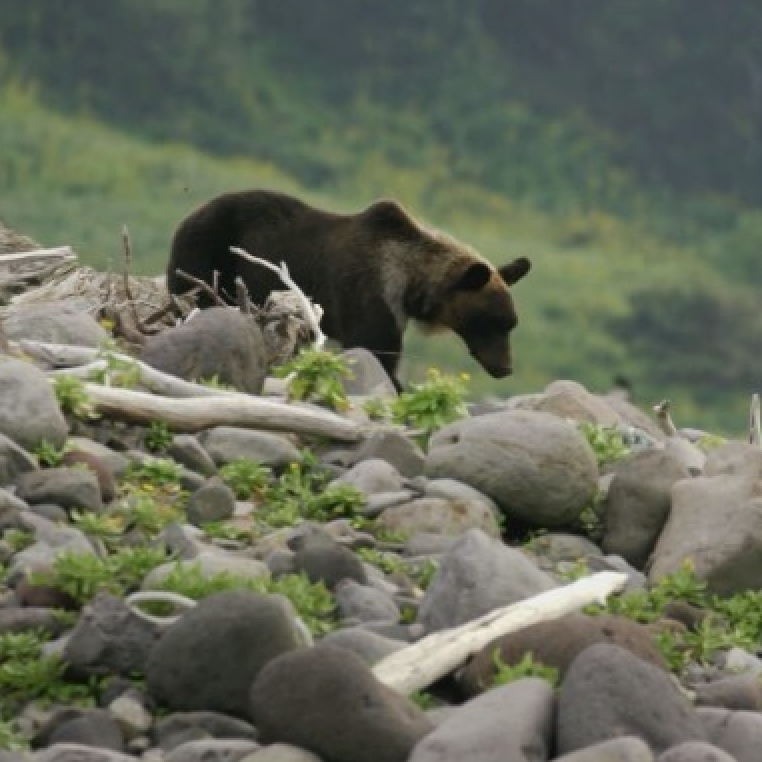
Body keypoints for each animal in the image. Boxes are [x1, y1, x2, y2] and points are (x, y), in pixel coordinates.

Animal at [166, 189, 531, 388]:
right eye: (491, 321)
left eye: (510, 323)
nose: (504, 368)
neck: (412, 286)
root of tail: (189, 215)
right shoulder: (371, 294)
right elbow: (376, 351)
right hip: (208, 253)